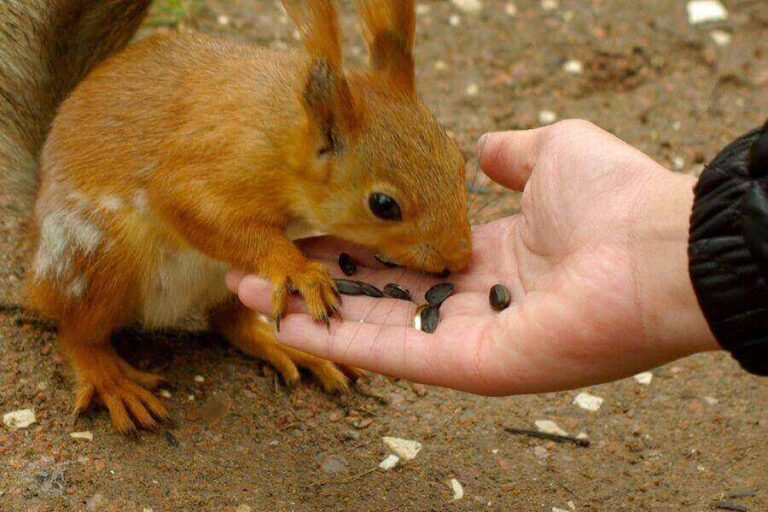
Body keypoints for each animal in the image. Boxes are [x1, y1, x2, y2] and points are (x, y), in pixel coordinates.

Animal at [3, 0, 472, 435]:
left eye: (457, 156)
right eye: (383, 204)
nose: (461, 258)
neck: (279, 133)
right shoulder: (206, 167)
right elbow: (191, 206)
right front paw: (297, 268)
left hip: (214, 283)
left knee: (228, 319)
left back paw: (287, 345)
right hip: (98, 257)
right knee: (76, 330)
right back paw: (109, 378)